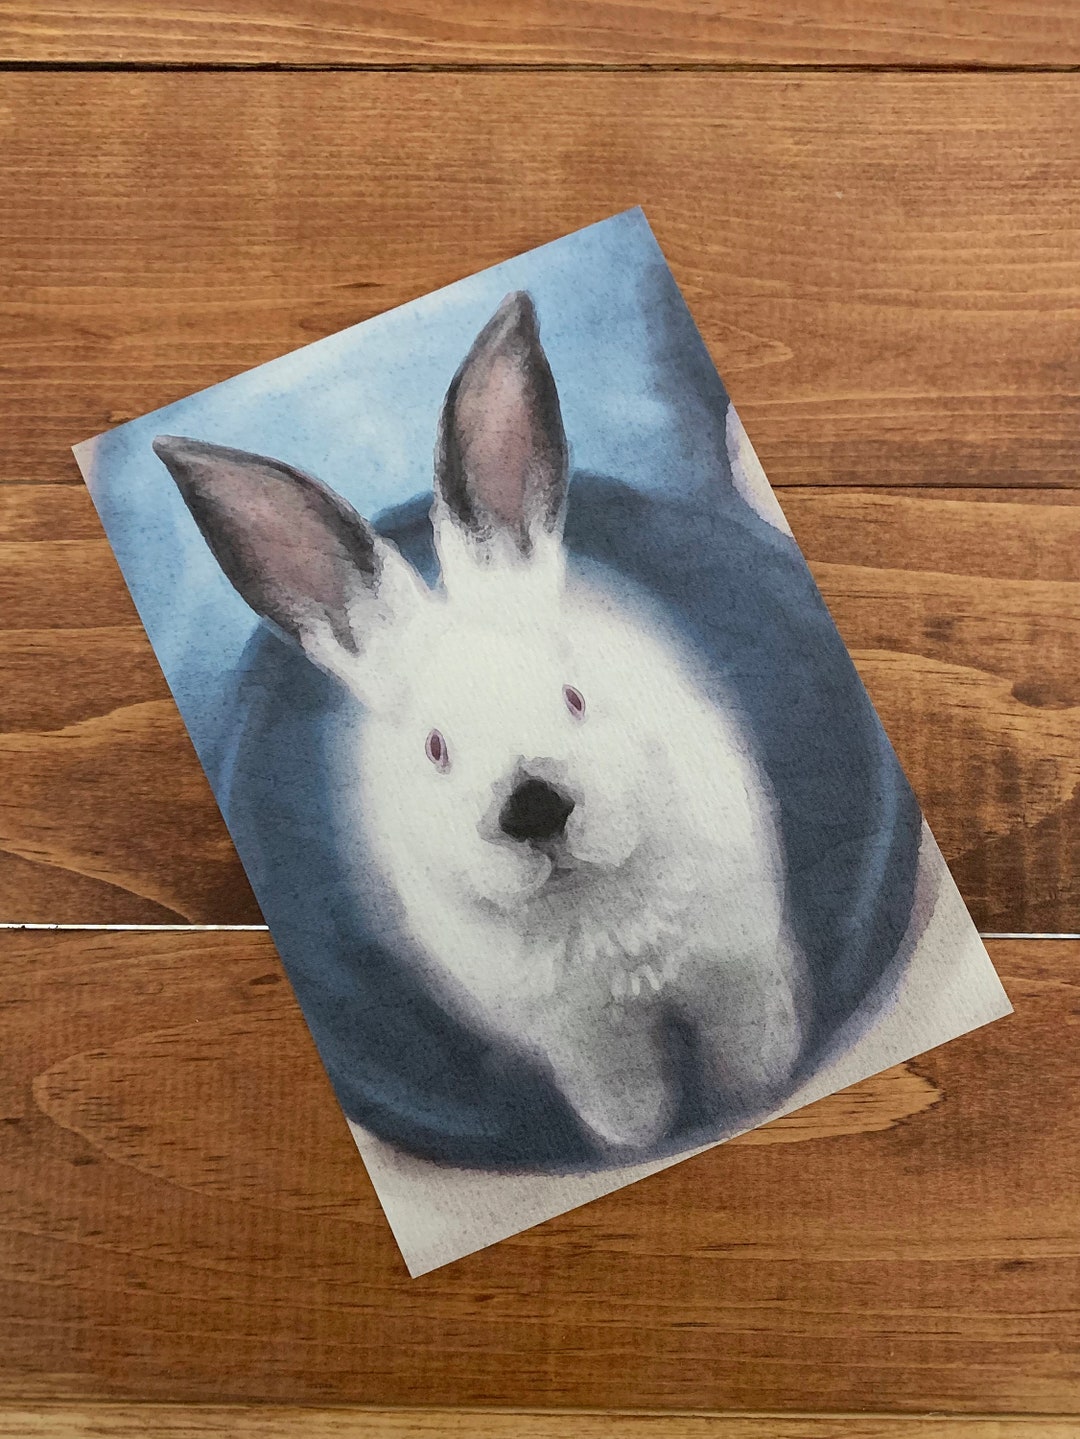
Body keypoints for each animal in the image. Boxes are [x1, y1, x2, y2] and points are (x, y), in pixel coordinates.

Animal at [153, 290, 810, 1159]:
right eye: (436, 748)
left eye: (575, 696)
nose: (535, 808)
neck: (594, 914)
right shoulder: (588, 1050)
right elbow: (630, 1110)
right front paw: (636, 1148)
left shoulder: (738, 977)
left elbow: (752, 1062)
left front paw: (760, 1097)